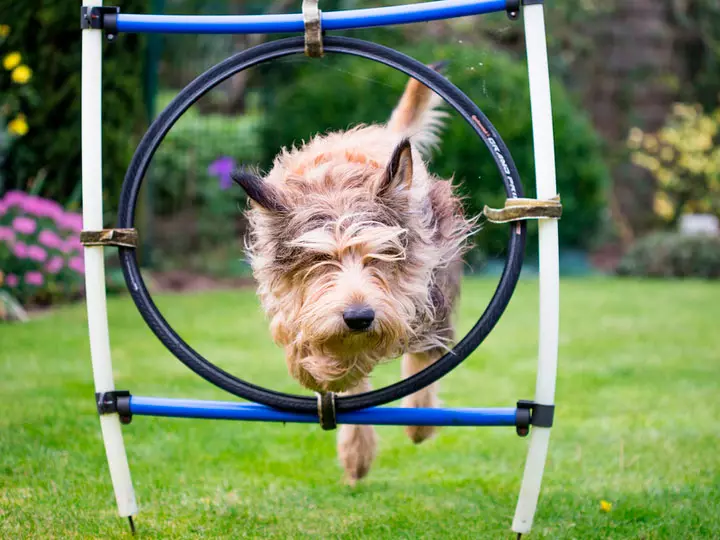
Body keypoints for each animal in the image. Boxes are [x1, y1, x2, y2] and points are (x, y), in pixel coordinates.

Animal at [233, 64, 476, 486]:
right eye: (318, 259)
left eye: (379, 256)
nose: (359, 317)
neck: (339, 192)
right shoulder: (291, 307)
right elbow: (313, 351)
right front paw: (319, 368)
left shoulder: (422, 293)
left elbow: (417, 351)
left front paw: (417, 418)